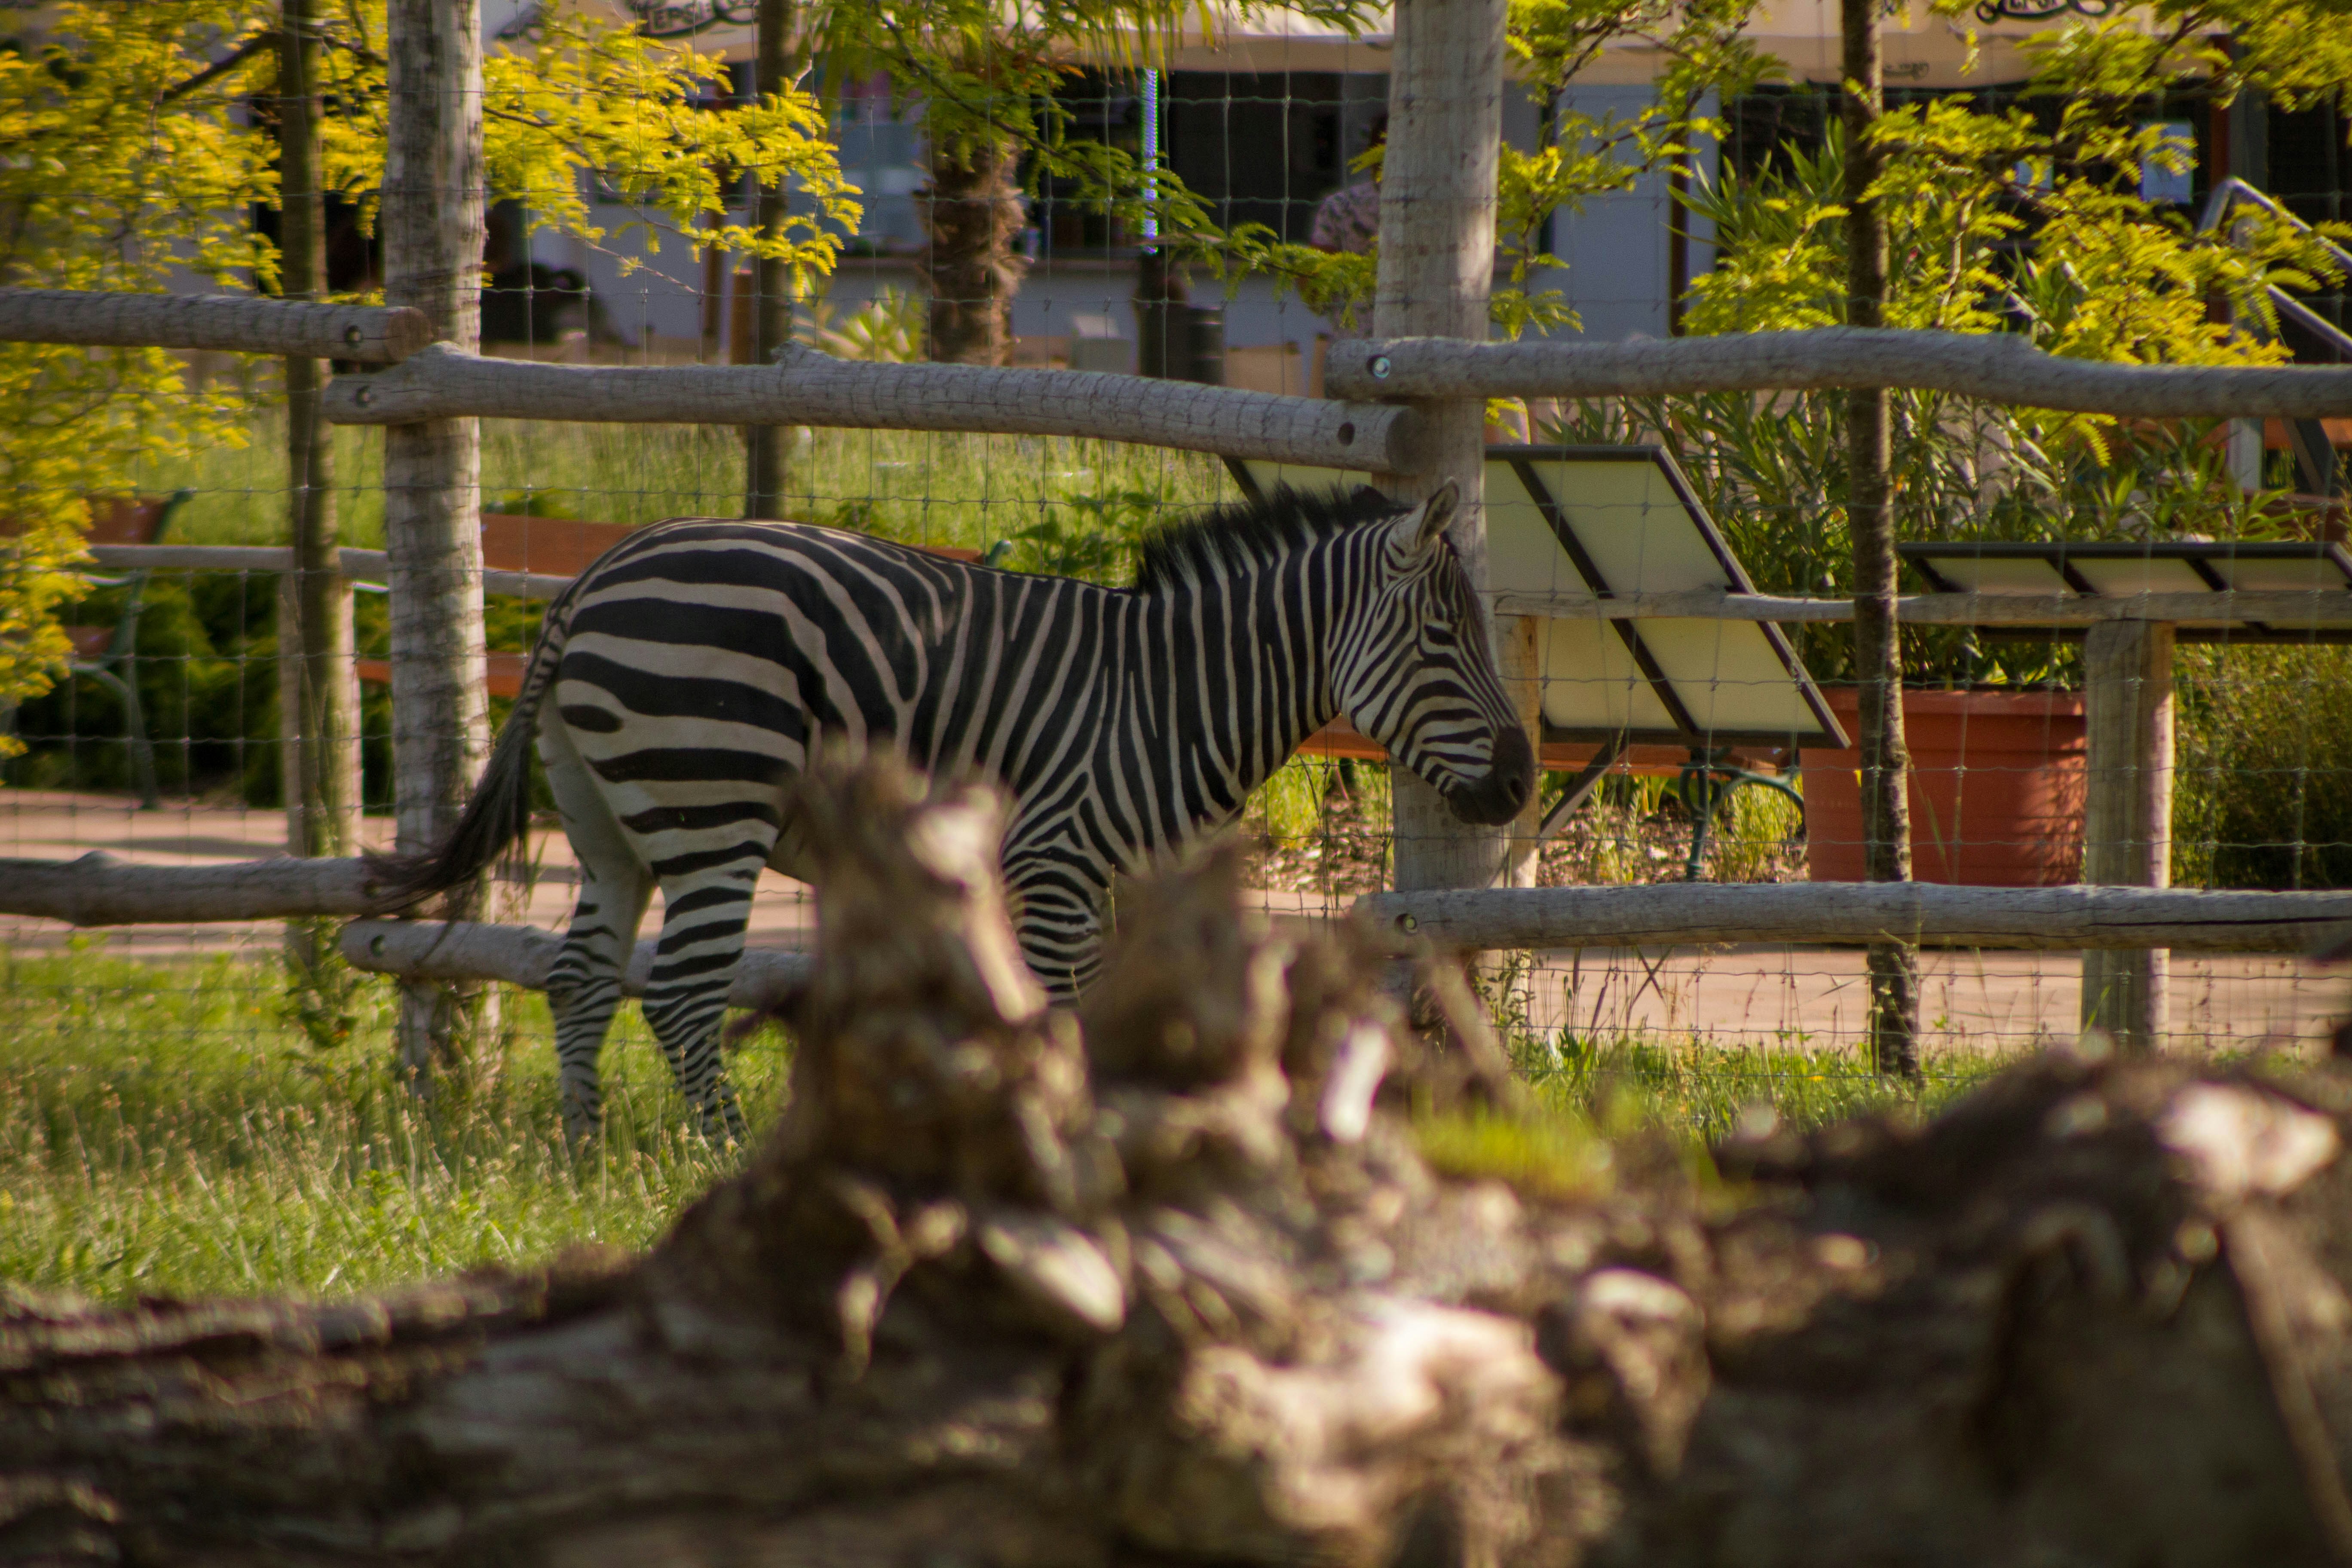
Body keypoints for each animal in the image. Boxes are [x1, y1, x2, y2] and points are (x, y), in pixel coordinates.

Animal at [373, 480, 1534, 1142]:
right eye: (1445, 640)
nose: (1523, 784)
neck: (1168, 694)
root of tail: (593, 576)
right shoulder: (1057, 868)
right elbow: (1065, 1020)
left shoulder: (1116, 885)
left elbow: (1123, 1021)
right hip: (714, 797)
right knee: (681, 991)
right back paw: (723, 1149)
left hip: (603, 817)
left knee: (579, 977)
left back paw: (580, 1149)